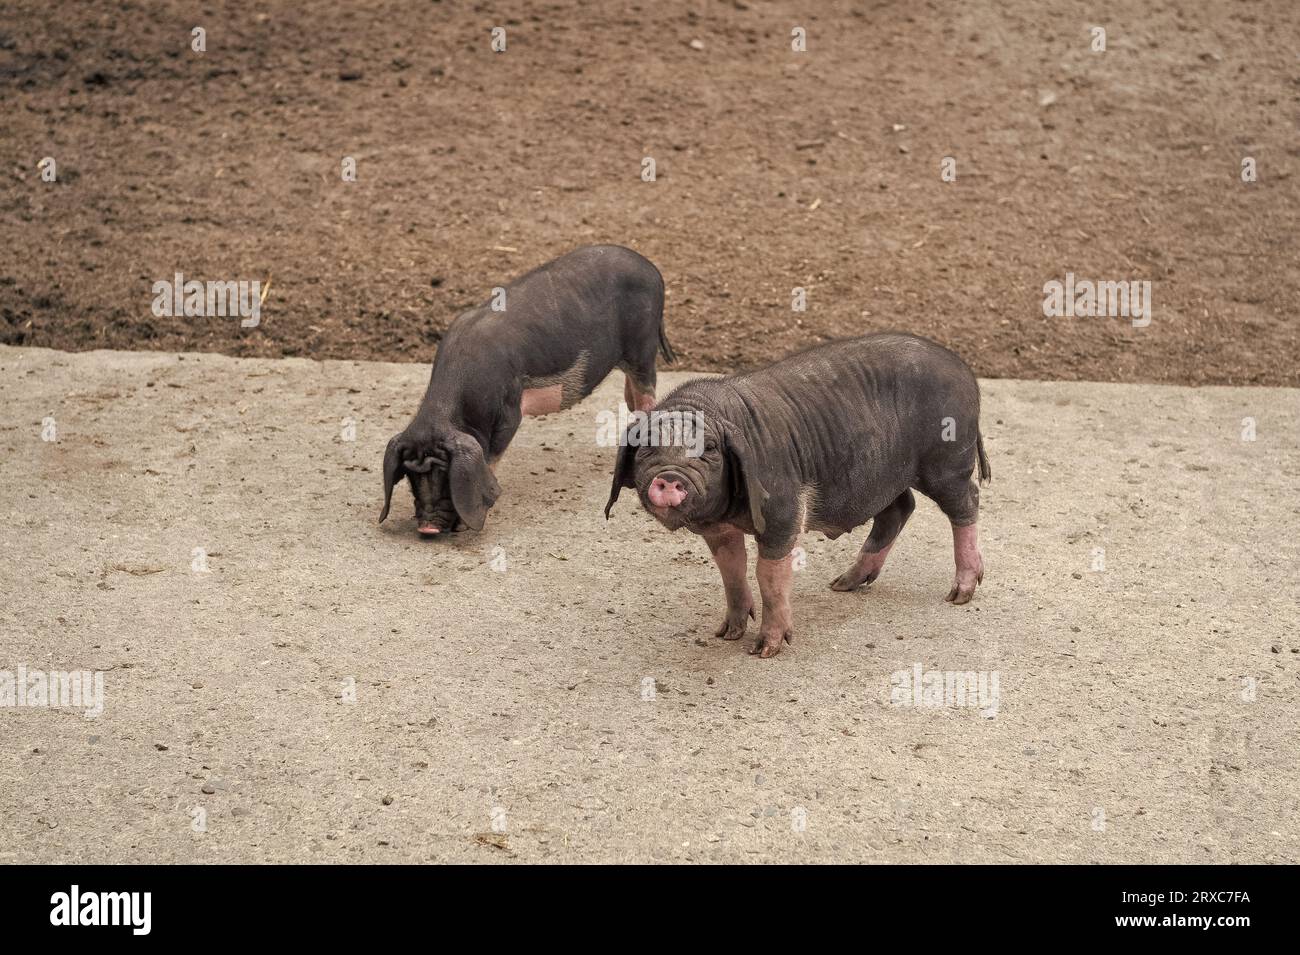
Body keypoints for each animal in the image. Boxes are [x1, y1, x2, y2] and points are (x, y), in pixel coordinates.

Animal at [381, 244, 673, 535]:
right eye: (410, 477)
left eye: (444, 473)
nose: (427, 528)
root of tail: (651, 268)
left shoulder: (509, 415)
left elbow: (490, 458)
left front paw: (463, 526)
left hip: (643, 346)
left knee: (647, 394)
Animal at [604, 333, 989, 658]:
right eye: (646, 447)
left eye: (709, 448)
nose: (669, 476)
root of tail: (964, 370)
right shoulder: (719, 528)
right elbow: (731, 569)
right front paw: (726, 634)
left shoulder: (784, 510)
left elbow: (768, 575)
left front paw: (765, 650)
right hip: (882, 477)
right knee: (900, 509)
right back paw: (843, 584)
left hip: (947, 460)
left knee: (966, 504)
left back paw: (959, 594)